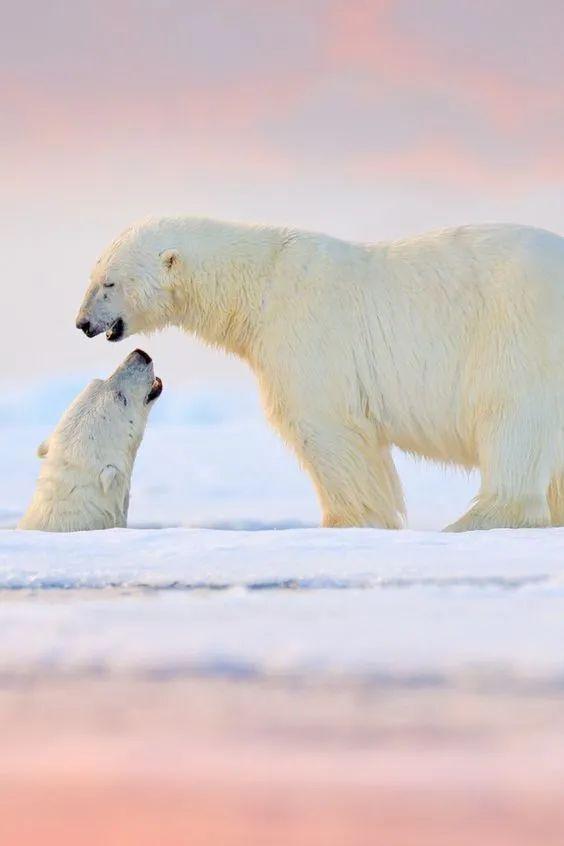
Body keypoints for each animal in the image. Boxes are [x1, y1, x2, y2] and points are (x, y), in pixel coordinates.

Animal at [75, 216, 564, 531]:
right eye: (94, 275)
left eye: (109, 283)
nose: (82, 323)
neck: (260, 282)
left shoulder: (306, 333)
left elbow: (325, 428)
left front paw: (349, 521)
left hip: (517, 334)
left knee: (510, 420)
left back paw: (474, 520)